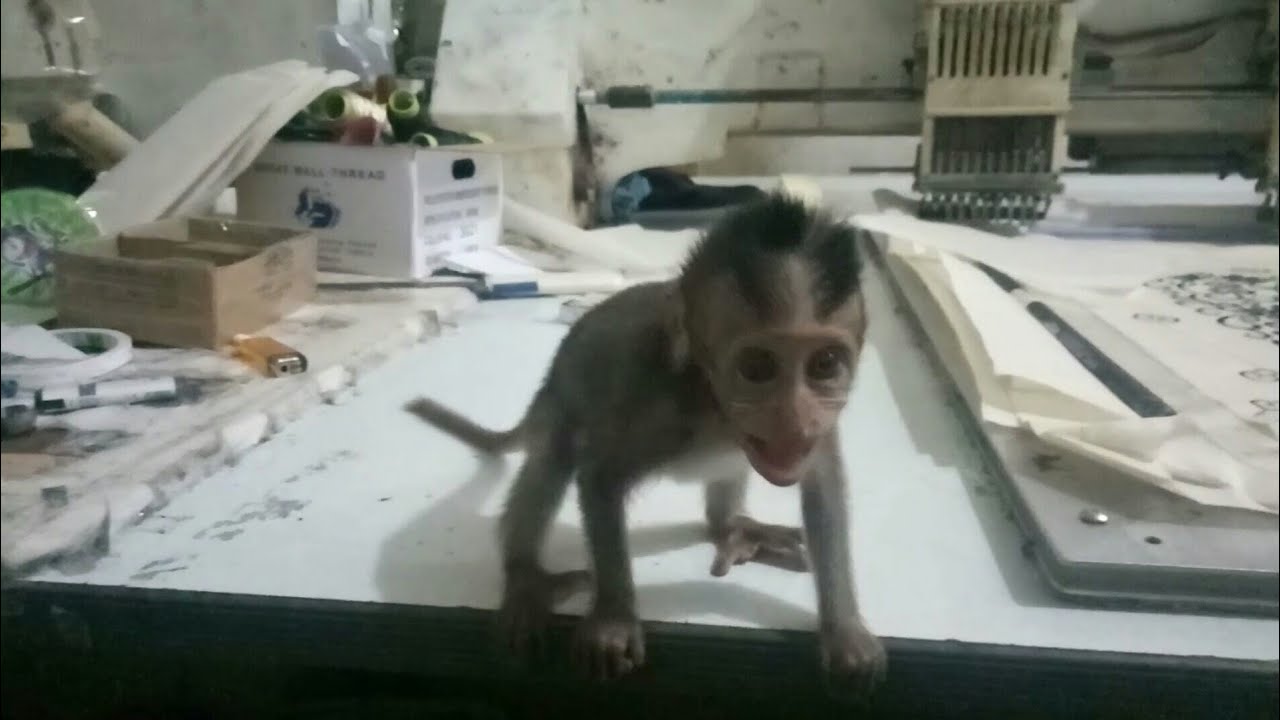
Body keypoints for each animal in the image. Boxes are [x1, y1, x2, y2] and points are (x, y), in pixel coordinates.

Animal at [405, 192, 885, 692]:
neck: (715, 406)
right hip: (559, 408)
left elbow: (823, 483)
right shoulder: (654, 404)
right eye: (757, 368)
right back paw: (525, 576)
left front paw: (844, 630)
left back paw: (732, 527)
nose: (796, 414)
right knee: (555, 457)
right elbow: (599, 479)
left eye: (825, 364)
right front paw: (614, 619)